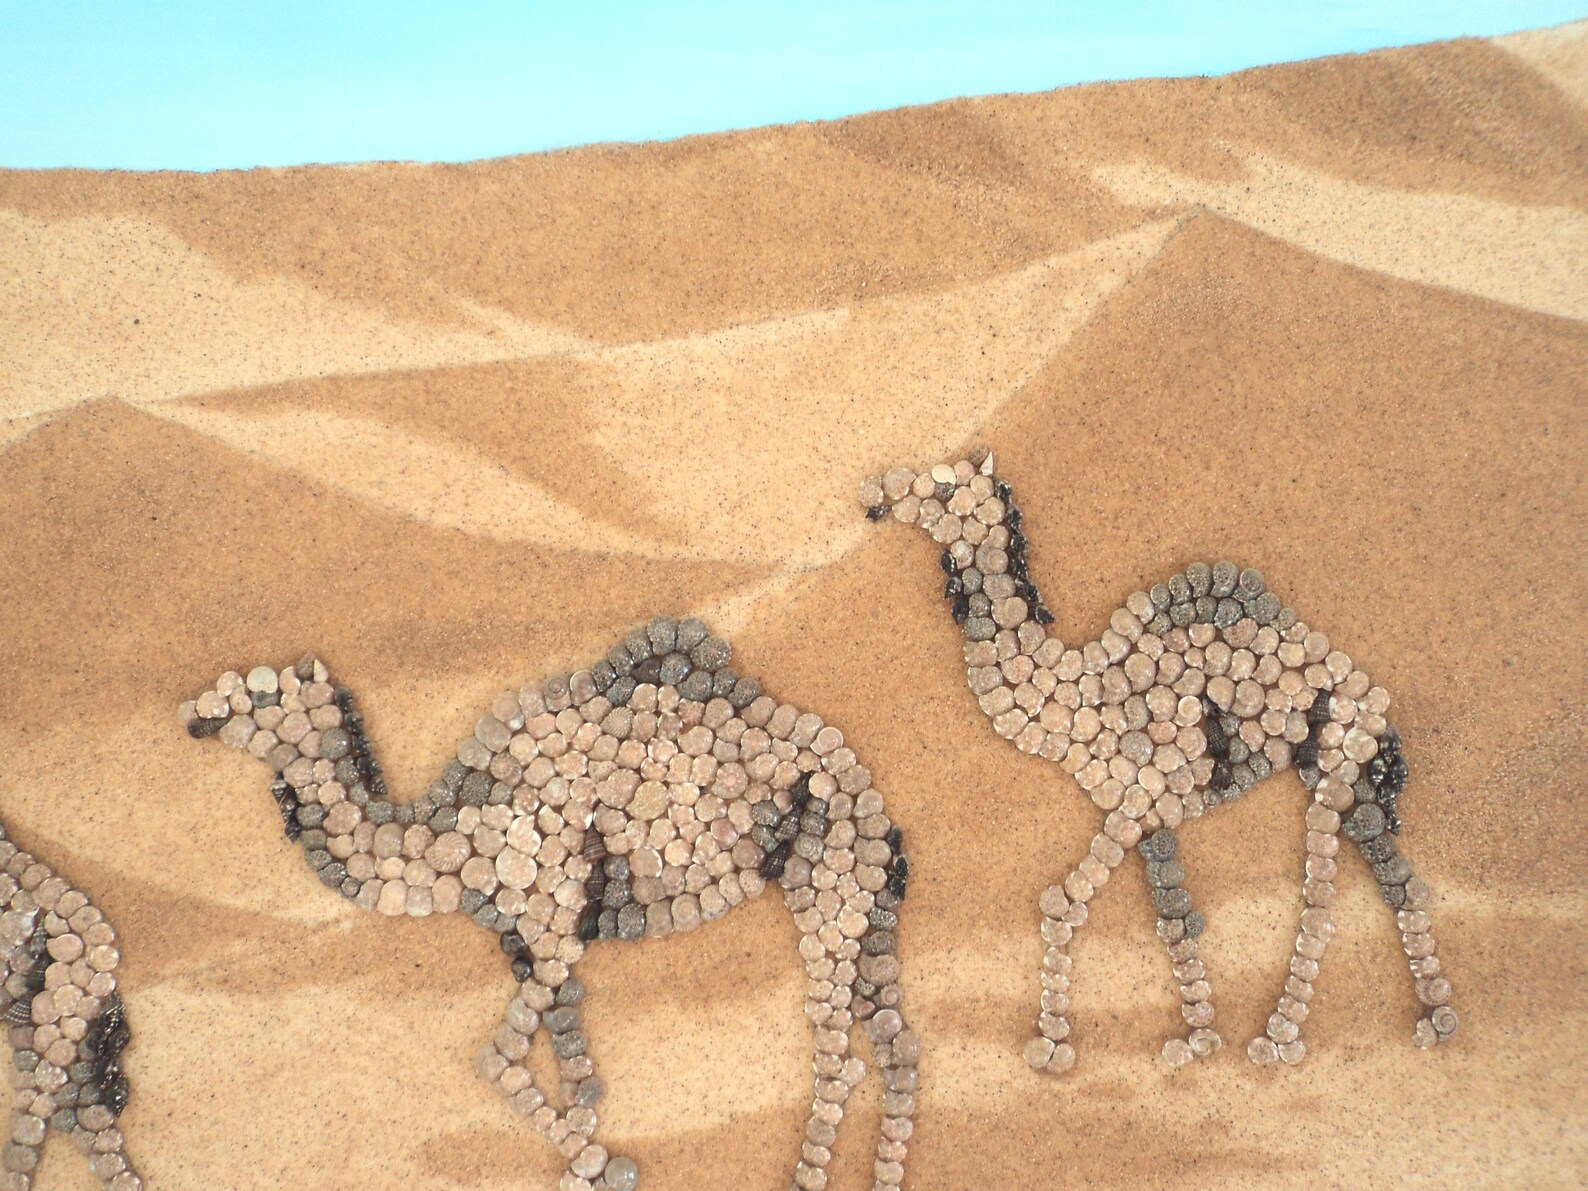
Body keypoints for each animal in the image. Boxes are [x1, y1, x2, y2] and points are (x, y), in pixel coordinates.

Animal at [182, 617, 915, 1191]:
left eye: (256, 695)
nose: (192, 715)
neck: (450, 840)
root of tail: (861, 782)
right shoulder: (541, 944)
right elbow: (573, 1071)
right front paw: (588, 1162)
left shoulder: (550, 923)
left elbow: (499, 1060)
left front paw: (603, 1164)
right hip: (833, 889)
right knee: (883, 1046)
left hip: (830, 880)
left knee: (837, 1052)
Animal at [860, 450, 1457, 1073]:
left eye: (937, 489)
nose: (875, 497)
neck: (1075, 693)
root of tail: (1369, 695)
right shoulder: (1151, 818)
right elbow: (1172, 917)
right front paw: (1196, 1038)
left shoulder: (1132, 807)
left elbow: (1062, 904)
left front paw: (1053, 1044)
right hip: (1342, 780)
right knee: (1393, 880)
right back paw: (1426, 1021)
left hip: (1333, 768)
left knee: (1321, 890)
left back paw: (1282, 1038)